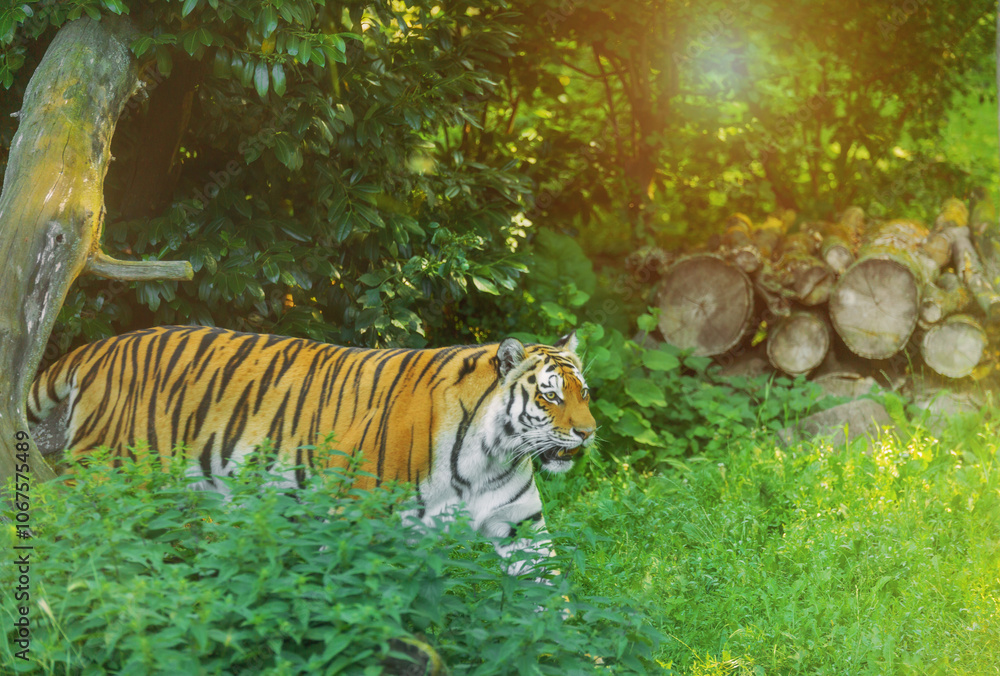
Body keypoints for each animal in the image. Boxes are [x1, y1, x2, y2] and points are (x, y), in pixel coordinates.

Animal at [28, 325, 596, 575]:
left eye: (584, 394)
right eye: (550, 396)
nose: (588, 434)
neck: (489, 454)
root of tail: (102, 345)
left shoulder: (520, 524)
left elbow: (553, 597)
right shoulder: (355, 519)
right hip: (103, 483)